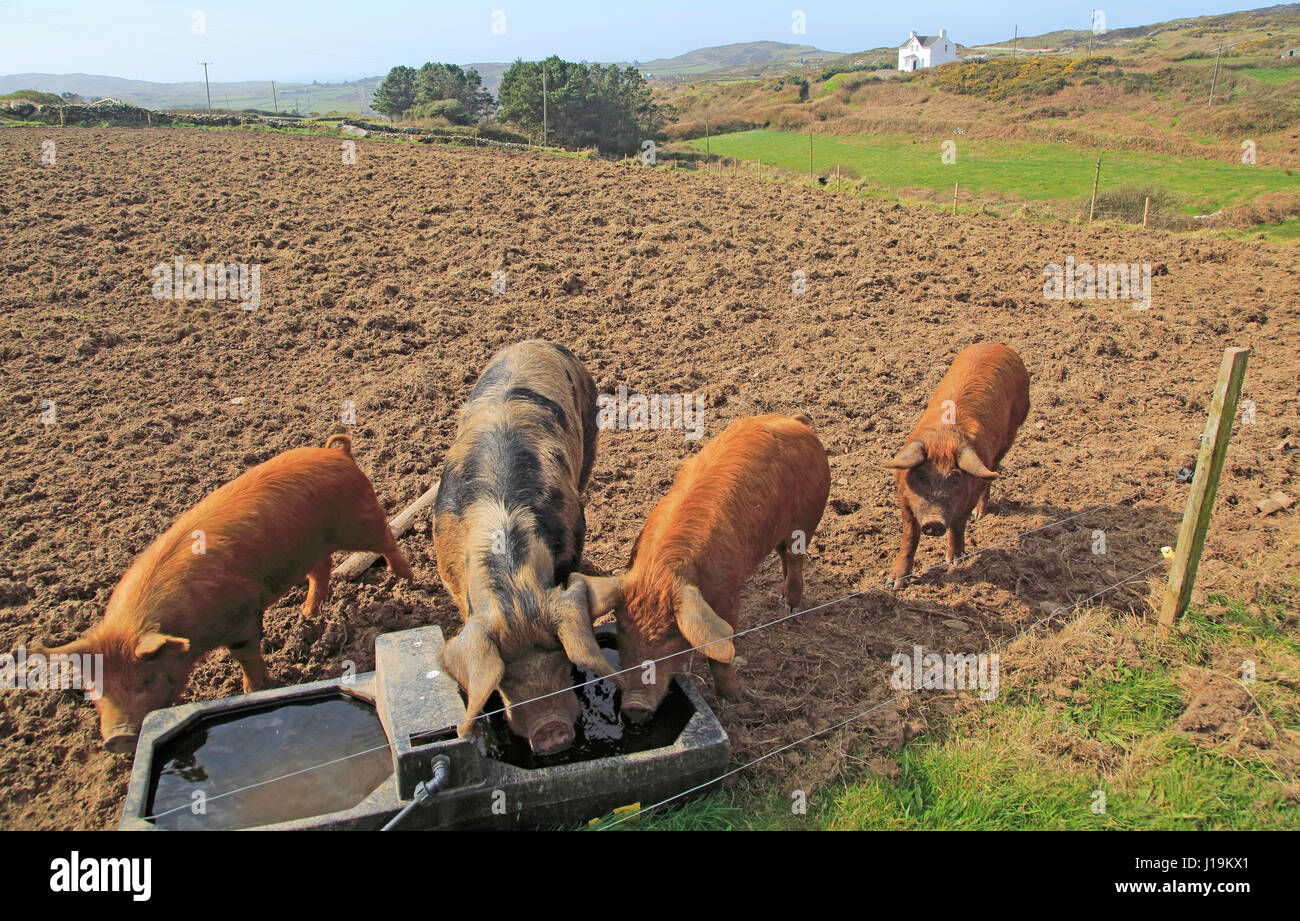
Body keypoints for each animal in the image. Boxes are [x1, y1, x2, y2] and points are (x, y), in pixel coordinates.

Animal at [27, 434, 413, 754]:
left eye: (147, 679)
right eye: (93, 688)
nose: (117, 739)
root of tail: (337, 453)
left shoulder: (241, 614)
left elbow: (247, 653)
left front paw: (252, 690)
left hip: (357, 521)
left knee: (385, 538)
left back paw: (406, 579)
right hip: (310, 545)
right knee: (321, 570)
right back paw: (307, 617)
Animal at [433, 340, 613, 755]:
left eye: (560, 655)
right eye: (505, 678)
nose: (552, 734)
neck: (515, 590)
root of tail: (536, 342)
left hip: (591, 425)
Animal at [569, 413, 830, 722]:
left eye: (670, 634)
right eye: (622, 626)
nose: (635, 707)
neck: (658, 574)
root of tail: (794, 420)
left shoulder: (728, 596)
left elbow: (720, 651)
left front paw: (735, 698)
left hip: (808, 516)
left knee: (795, 557)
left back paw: (789, 607)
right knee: (782, 556)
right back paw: (779, 601)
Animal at [885, 342, 1030, 587]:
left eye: (955, 479)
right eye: (921, 476)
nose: (934, 521)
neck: (944, 439)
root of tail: (997, 344)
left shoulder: (970, 492)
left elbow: (959, 524)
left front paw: (954, 561)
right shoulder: (903, 495)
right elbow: (910, 535)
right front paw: (894, 583)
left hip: (1007, 438)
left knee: (993, 472)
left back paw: (980, 515)